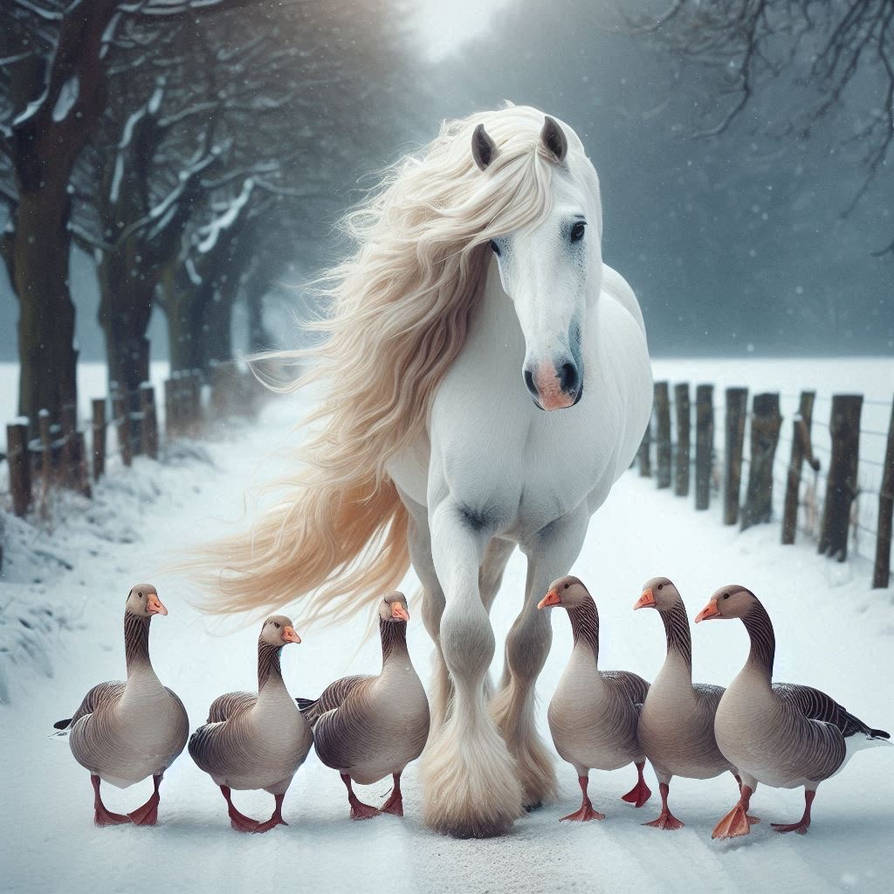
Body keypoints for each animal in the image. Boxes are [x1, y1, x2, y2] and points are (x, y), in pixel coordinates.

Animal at [193, 105, 653, 838]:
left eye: (575, 228)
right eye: (495, 244)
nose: (552, 380)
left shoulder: (562, 529)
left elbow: (527, 643)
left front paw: (522, 772)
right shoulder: (456, 517)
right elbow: (464, 638)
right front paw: (470, 794)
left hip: (503, 538)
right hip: (424, 525)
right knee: (440, 615)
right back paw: (443, 729)